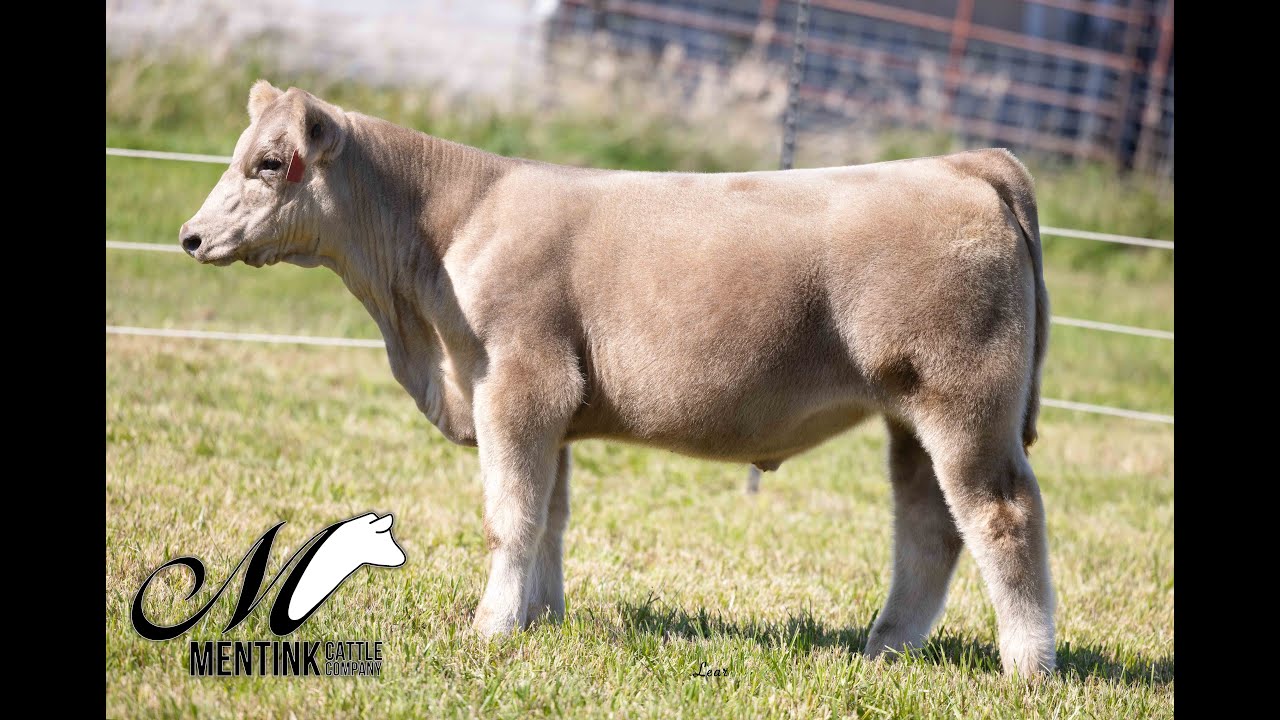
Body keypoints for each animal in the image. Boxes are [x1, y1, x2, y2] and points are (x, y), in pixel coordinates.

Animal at [179, 81, 1055, 675]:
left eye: (269, 162)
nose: (190, 236)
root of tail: (966, 163)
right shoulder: (550, 407)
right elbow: (551, 518)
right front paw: (541, 619)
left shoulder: (517, 384)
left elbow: (511, 516)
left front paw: (491, 628)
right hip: (912, 414)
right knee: (929, 526)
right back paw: (884, 648)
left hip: (963, 400)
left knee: (1000, 515)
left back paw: (1028, 665)